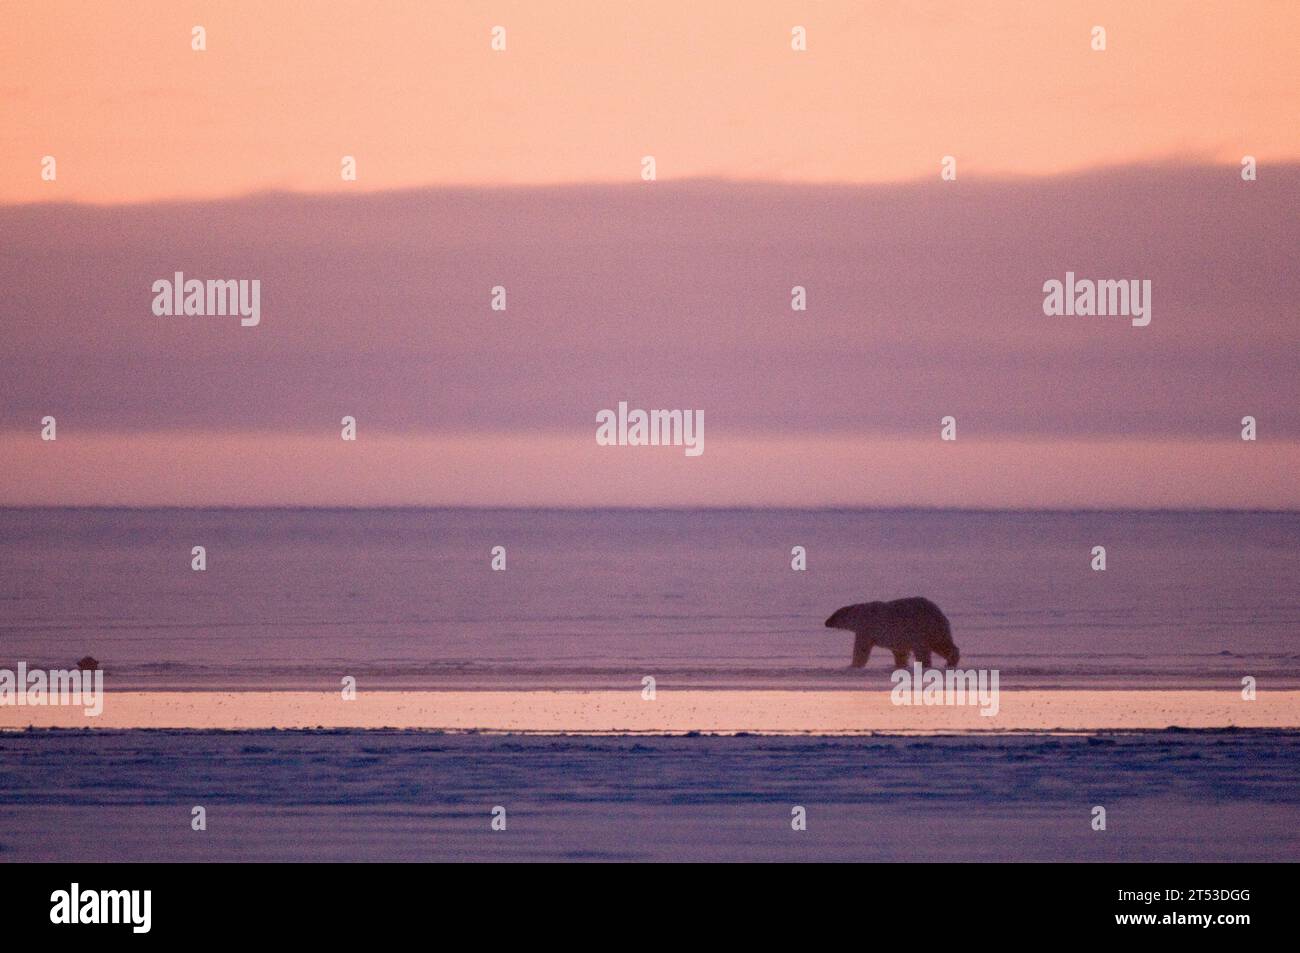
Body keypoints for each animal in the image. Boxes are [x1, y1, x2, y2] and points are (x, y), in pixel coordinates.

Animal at [824, 597, 959, 670]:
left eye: (833, 615)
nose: (826, 622)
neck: (859, 615)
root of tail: (939, 614)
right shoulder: (897, 637)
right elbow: (899, 651)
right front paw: (899, 665)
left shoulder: (866, 628)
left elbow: (861, 649)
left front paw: (853, 665)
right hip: (935, 630)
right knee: (941, 644)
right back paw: (950, 662)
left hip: (921, 628)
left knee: (923, 650)